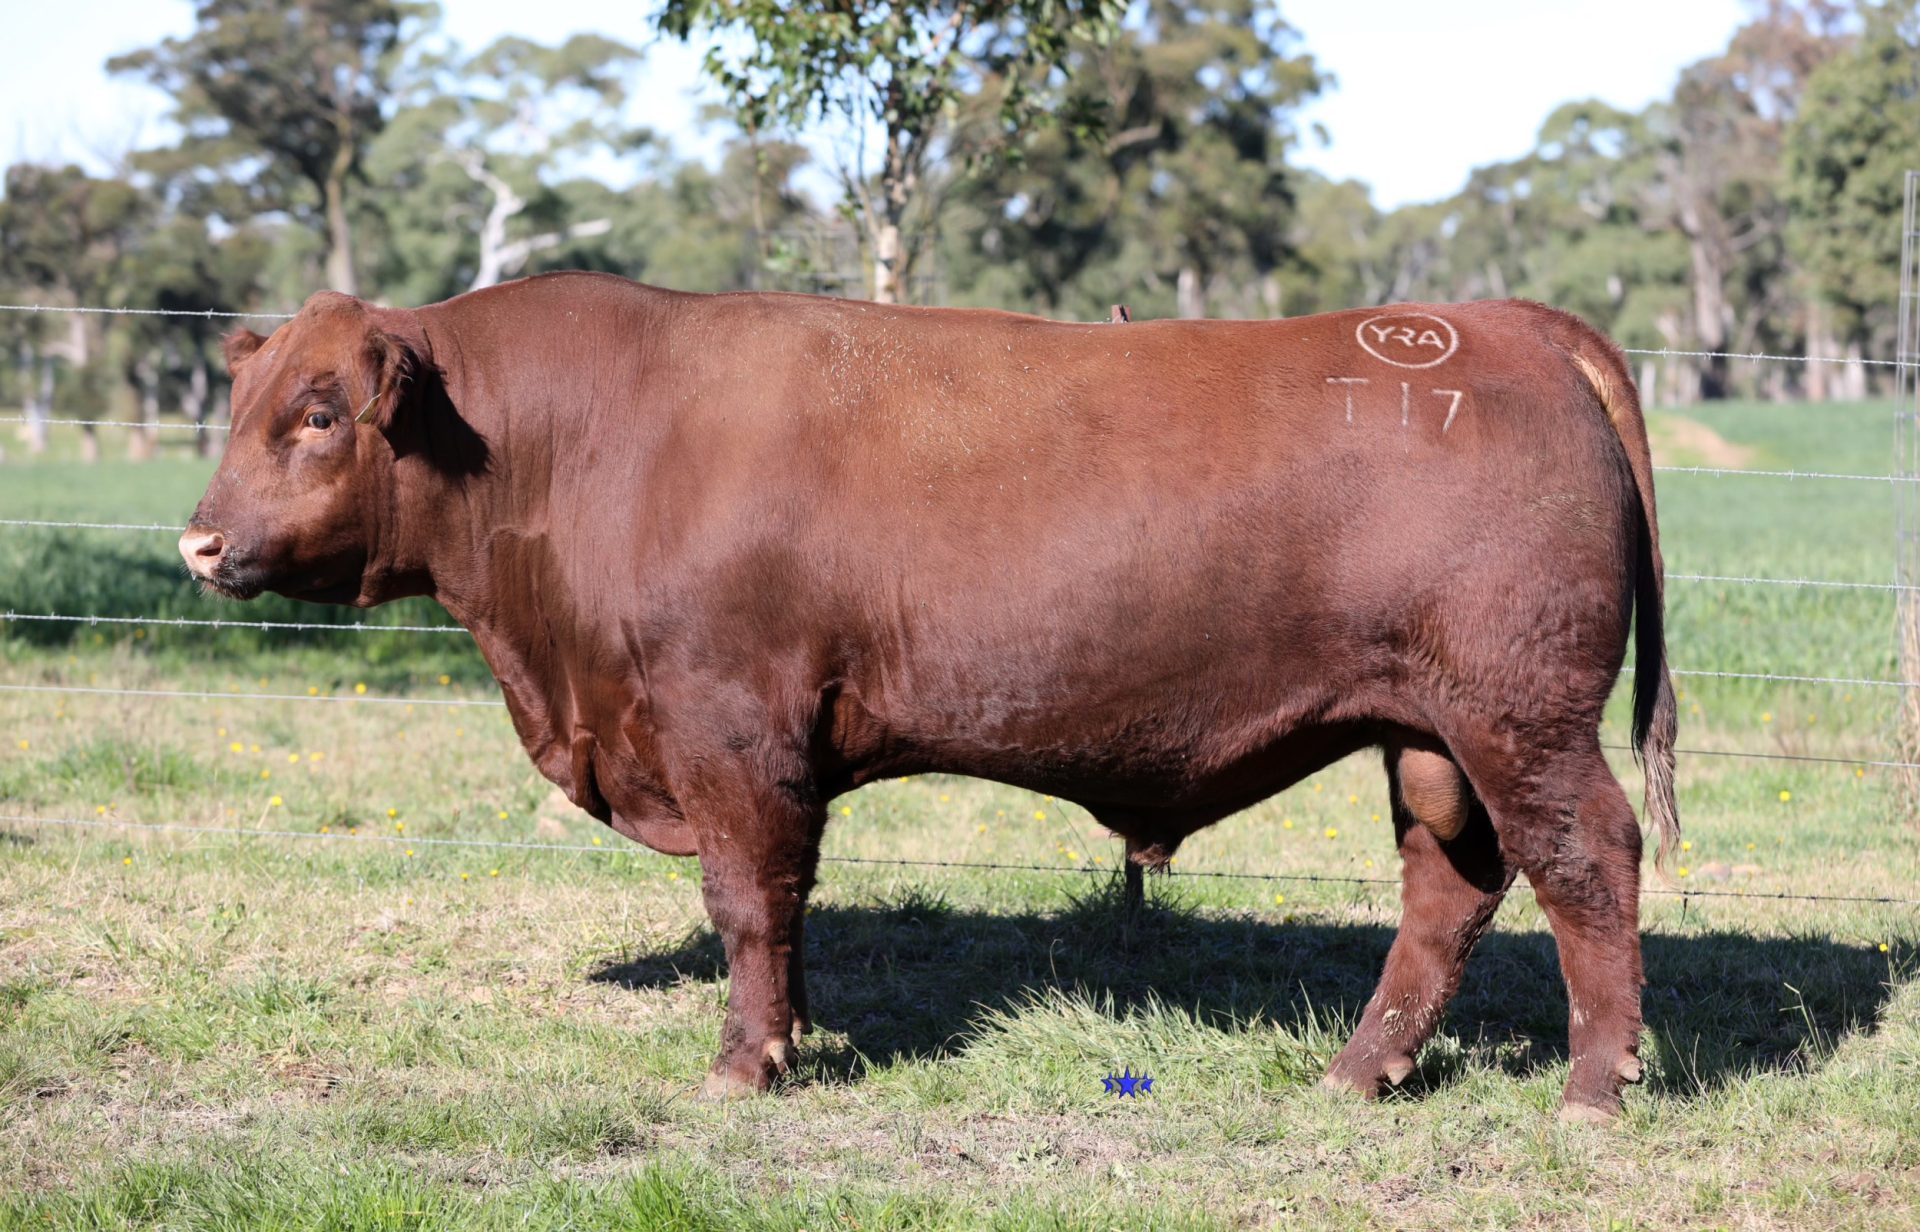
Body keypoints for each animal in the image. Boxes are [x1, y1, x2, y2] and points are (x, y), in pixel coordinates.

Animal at [180, 273, 1678, 1121]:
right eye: (244, 398)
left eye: (320, 411)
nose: (199, 542)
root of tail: (1504, 325)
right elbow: (786, 905)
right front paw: (793, 1034)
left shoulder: (733, 729)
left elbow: (748, 900)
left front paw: (747, 1064)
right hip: (1431, 737)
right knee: (1452, 888)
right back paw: (1361, 1071)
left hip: (1520, 717)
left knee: (1589, 860)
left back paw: (1595, 1085)